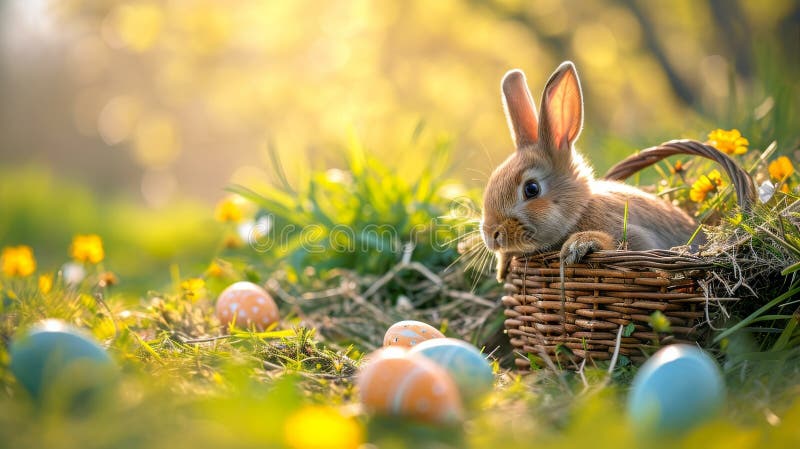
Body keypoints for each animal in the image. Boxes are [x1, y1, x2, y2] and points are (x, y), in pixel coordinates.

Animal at [481, 61, 698, 282]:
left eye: (531, 189)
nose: (491, 235)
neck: (579, 211)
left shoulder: (636, 239)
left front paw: (578, 245)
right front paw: (502, 266)